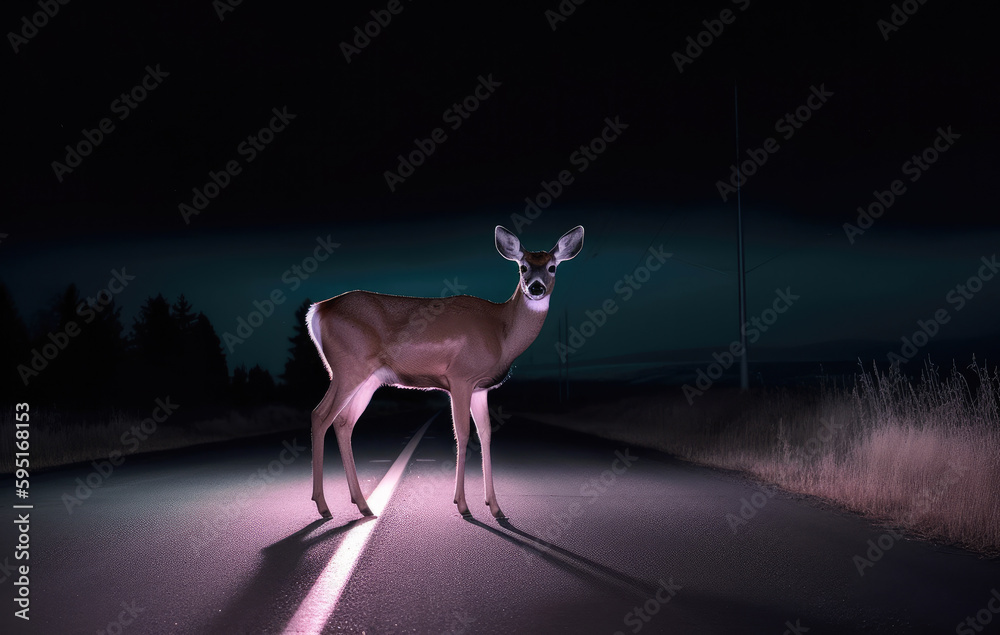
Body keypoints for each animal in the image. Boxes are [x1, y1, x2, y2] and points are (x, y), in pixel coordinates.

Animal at [306, 225, 584, 520]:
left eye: (552, 267)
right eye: (522, 267)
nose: (536, 287)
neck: (501, 332)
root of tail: (318, 310)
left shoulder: (481, 388)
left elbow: (485, 433)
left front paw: (496, 507)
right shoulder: (460, 378)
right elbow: (462, 433)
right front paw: (462, 505)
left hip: (368, 379)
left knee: (343, 422)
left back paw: (362, 505)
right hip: (347, 368)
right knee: (320, 415)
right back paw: (323, 506)